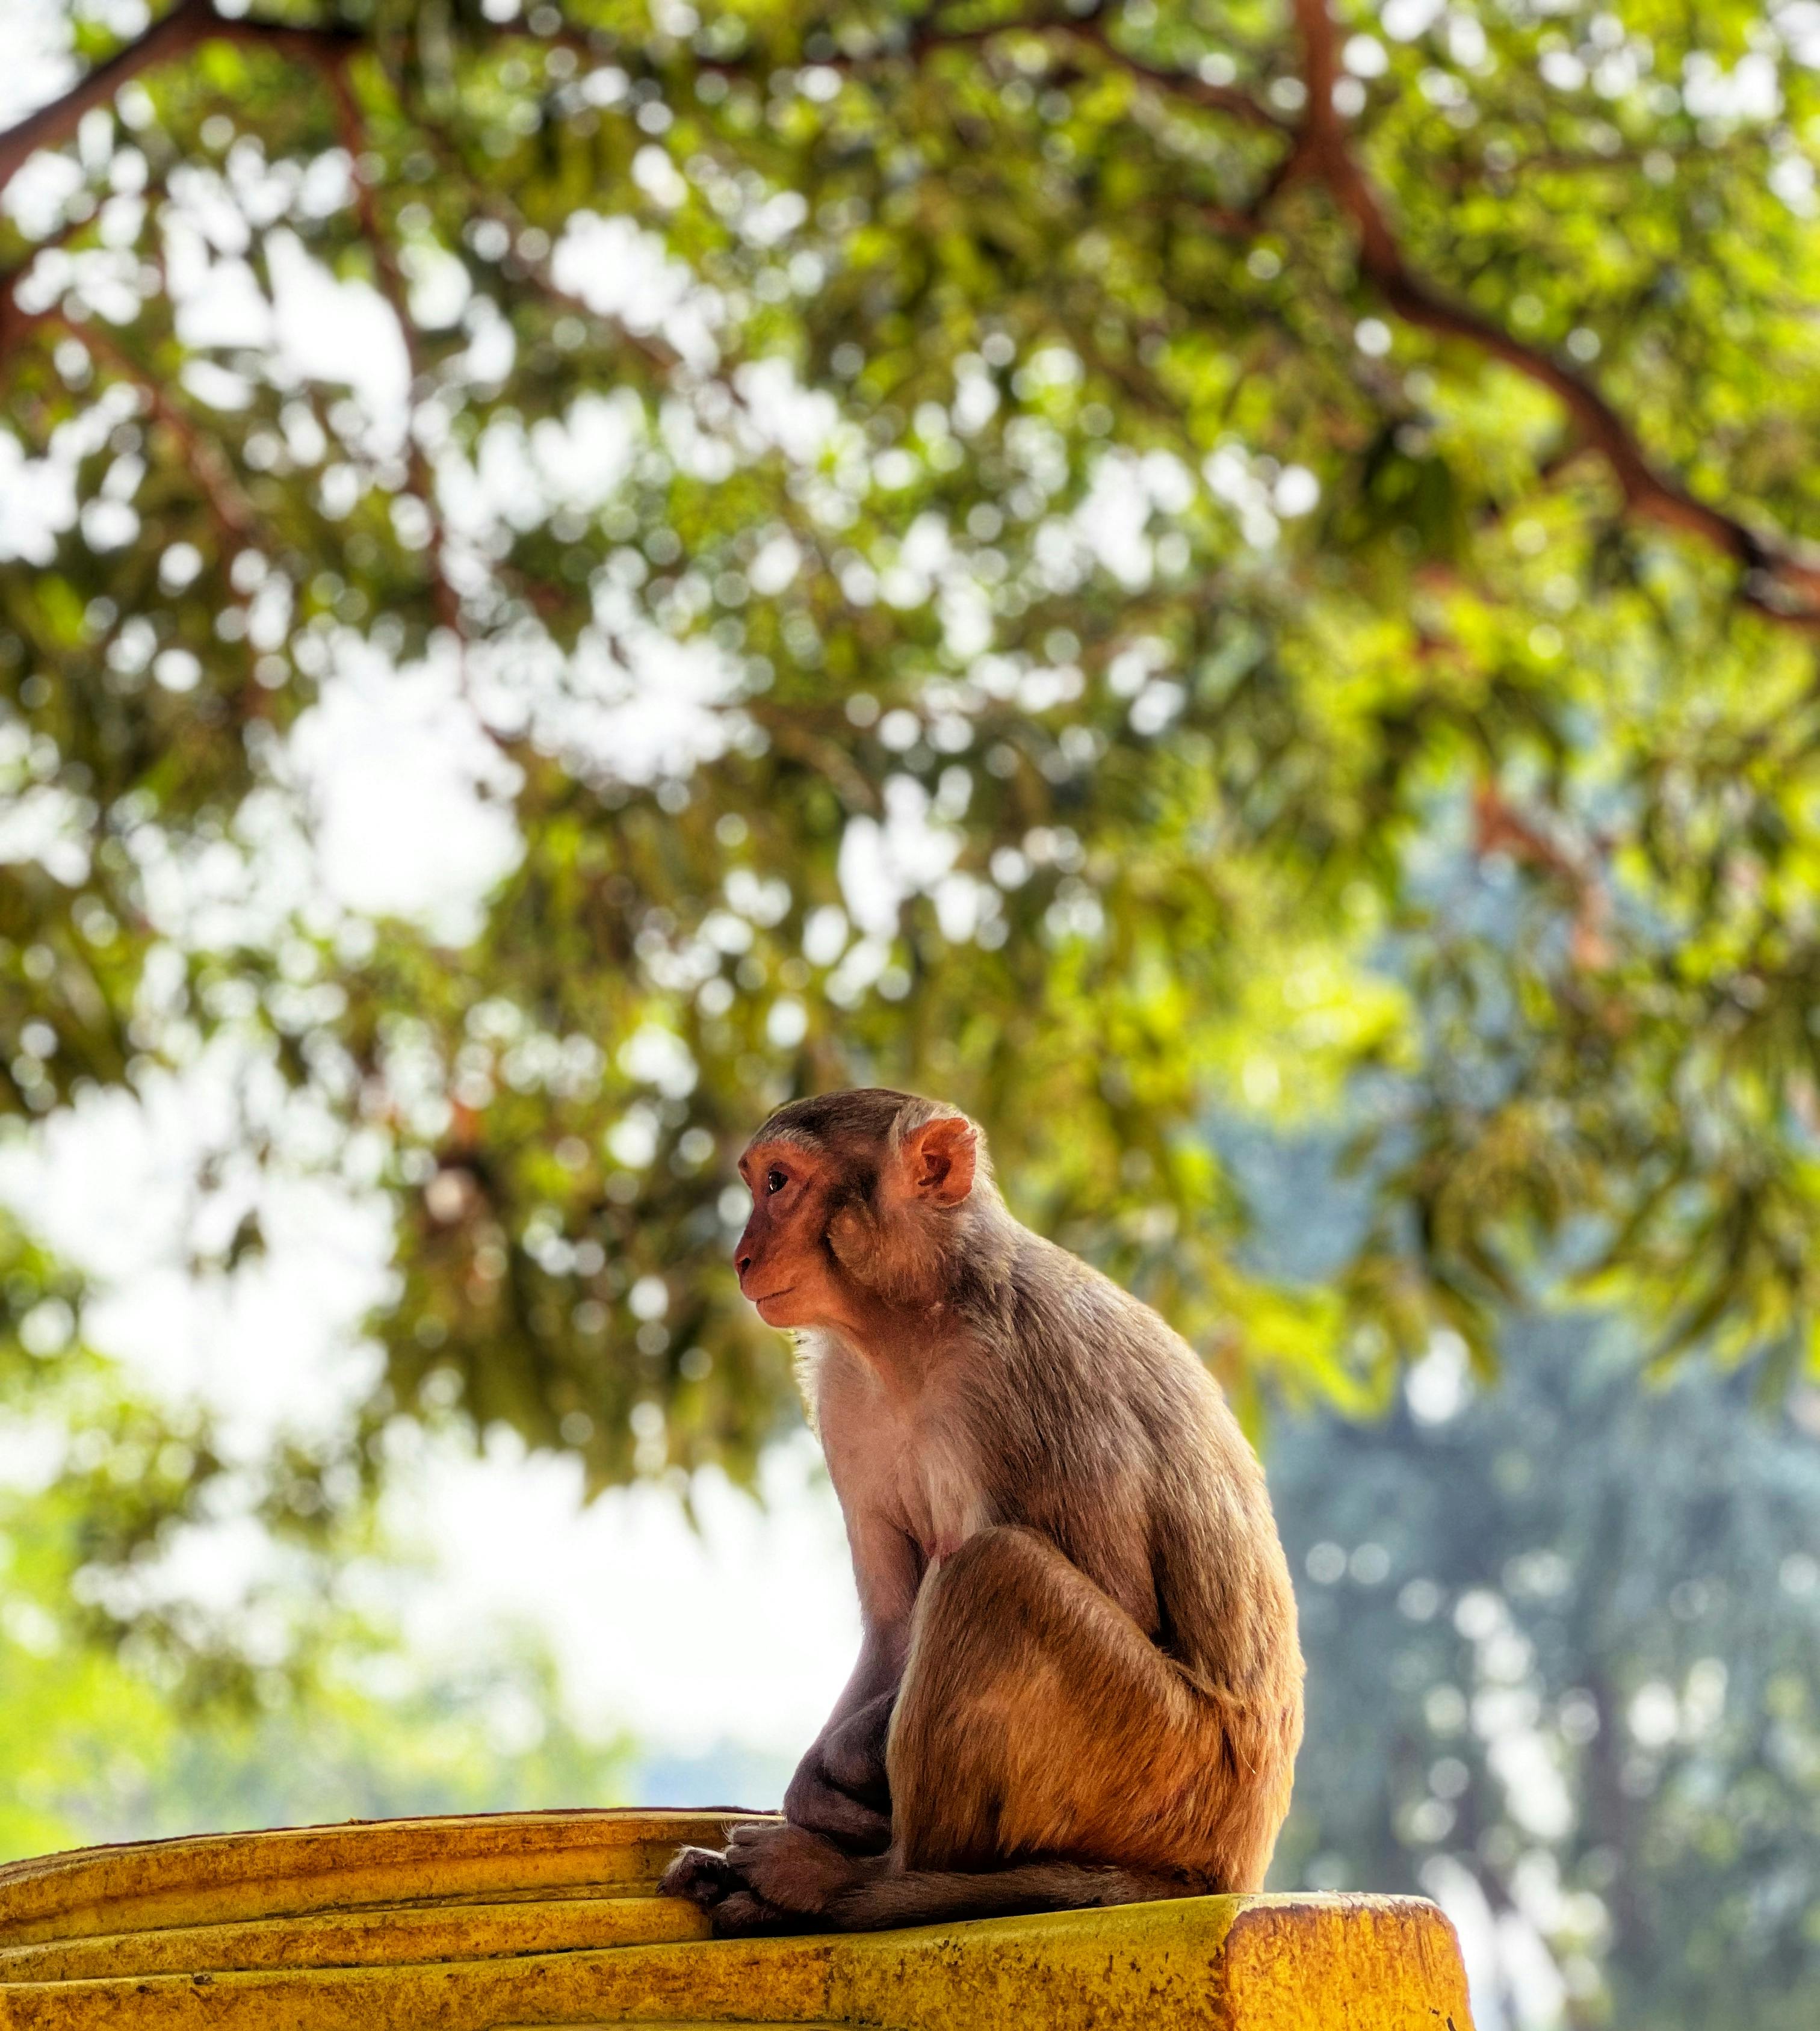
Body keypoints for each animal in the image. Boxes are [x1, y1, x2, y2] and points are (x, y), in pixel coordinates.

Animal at [660, 1088, 1303, 1935]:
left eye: (777, 1183)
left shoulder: (1026, 1379)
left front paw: (832, 1781)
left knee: (995, 1571)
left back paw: (852, 1881)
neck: (917, 1322)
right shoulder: (841, 1396)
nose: (742, 1257)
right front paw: (820, 1786)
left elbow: (1121, 1593)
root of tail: (1234, 1861)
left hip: (1166, 1772)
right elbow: (894, 1626)